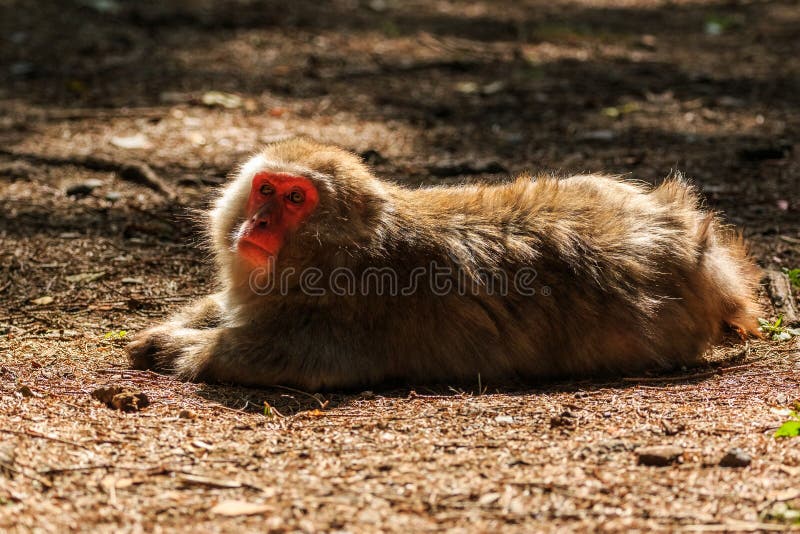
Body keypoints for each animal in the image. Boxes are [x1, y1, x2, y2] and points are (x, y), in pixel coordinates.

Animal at [126, 137, 761, 391]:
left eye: (295, 198)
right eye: (264, 189)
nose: (256, 225)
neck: (343, 254)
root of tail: (693, 242)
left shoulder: (355, 314)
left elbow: (294, 358)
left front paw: (179, 350)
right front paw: (168, 330)